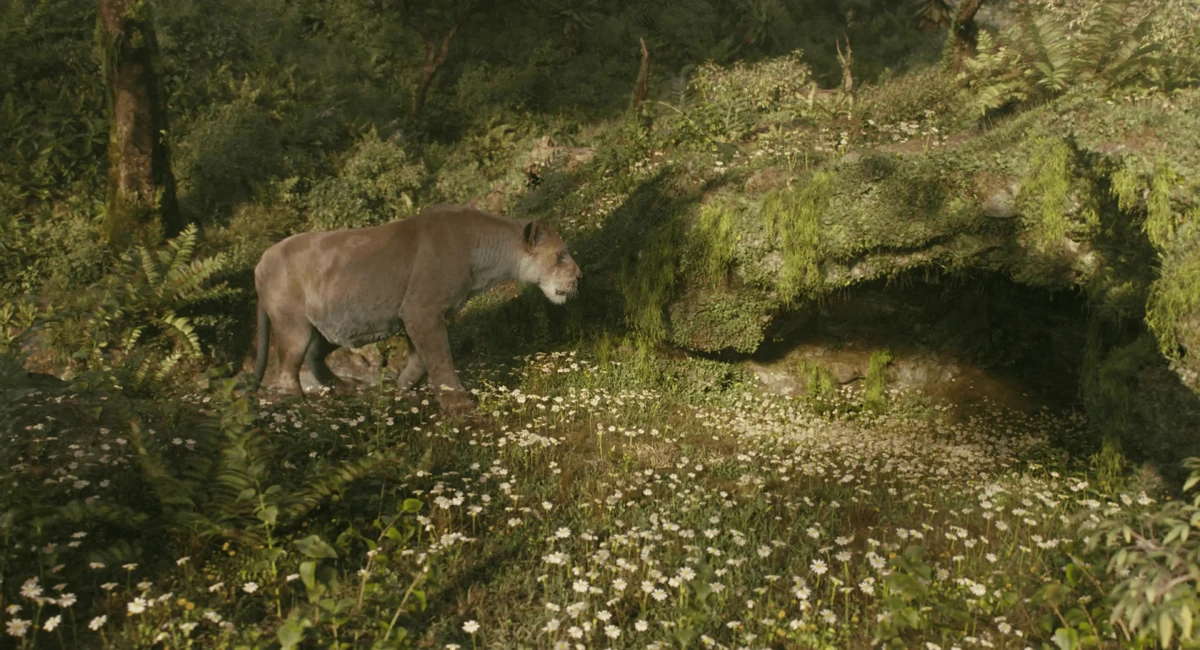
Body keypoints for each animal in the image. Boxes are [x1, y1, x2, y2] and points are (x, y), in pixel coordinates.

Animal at [250, 204, 582, 414]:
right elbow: (440, 359)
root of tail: (259, 263)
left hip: (331, 326)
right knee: (286, 372)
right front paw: (459, 405)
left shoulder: (426, 314)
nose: (579, 276)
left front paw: (403, 389)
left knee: (314, 356)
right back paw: (300, 407)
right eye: (562, 255)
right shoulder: (421, 311)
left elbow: (420, 360)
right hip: (293, 325)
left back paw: (342, 388)